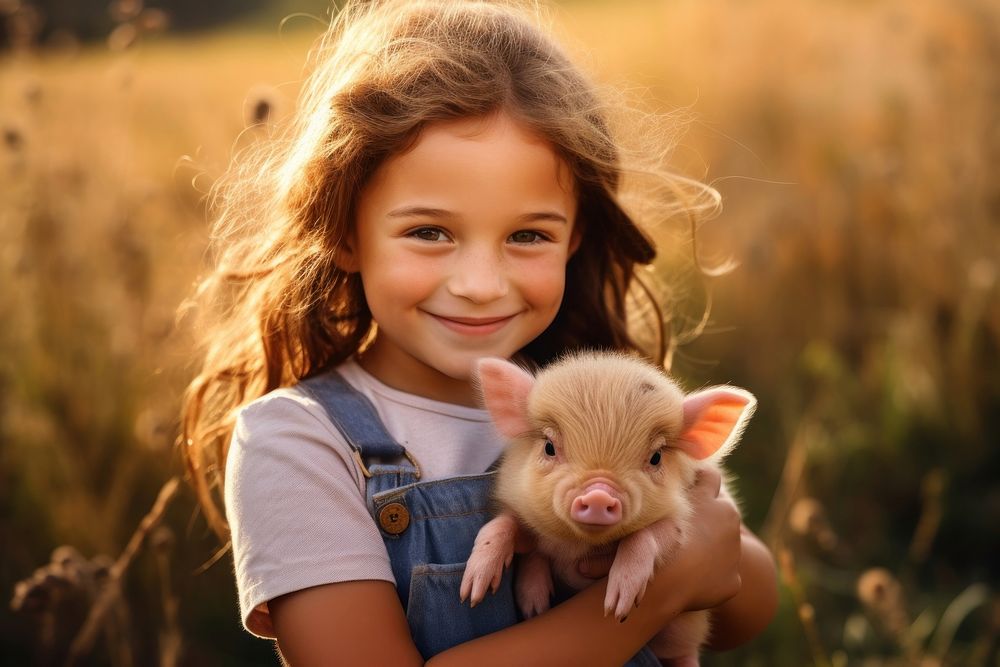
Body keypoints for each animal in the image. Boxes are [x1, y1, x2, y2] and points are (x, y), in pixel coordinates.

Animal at [459, 351, 756, 665]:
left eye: (656, 457)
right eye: (549, 447)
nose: (599, 496)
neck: (578, 544)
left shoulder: (681, 524)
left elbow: (646, 537)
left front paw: (618, 609)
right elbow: (503, 525)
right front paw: (473, 593)